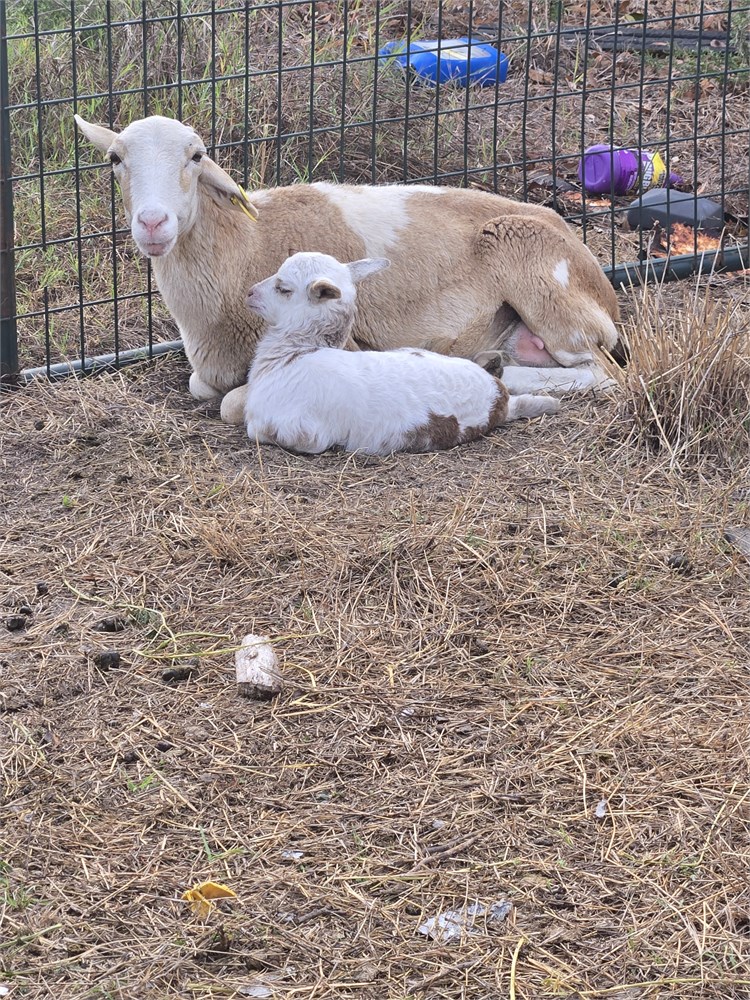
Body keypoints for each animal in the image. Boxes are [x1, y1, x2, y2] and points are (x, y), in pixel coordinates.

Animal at [74, 114, 619, 422]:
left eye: (197, 156)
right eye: (114, 159)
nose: (153, 222)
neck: (245, 245)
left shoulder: (340, 345)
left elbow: (231, 403)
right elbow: (200, 386)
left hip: (543, 282)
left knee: (602, 374)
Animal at [243, 251, 560, 455]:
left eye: (284, 289)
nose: (250, 293)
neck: (295, 354)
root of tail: (500, 400)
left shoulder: (302, 433)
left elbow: (255, 431)